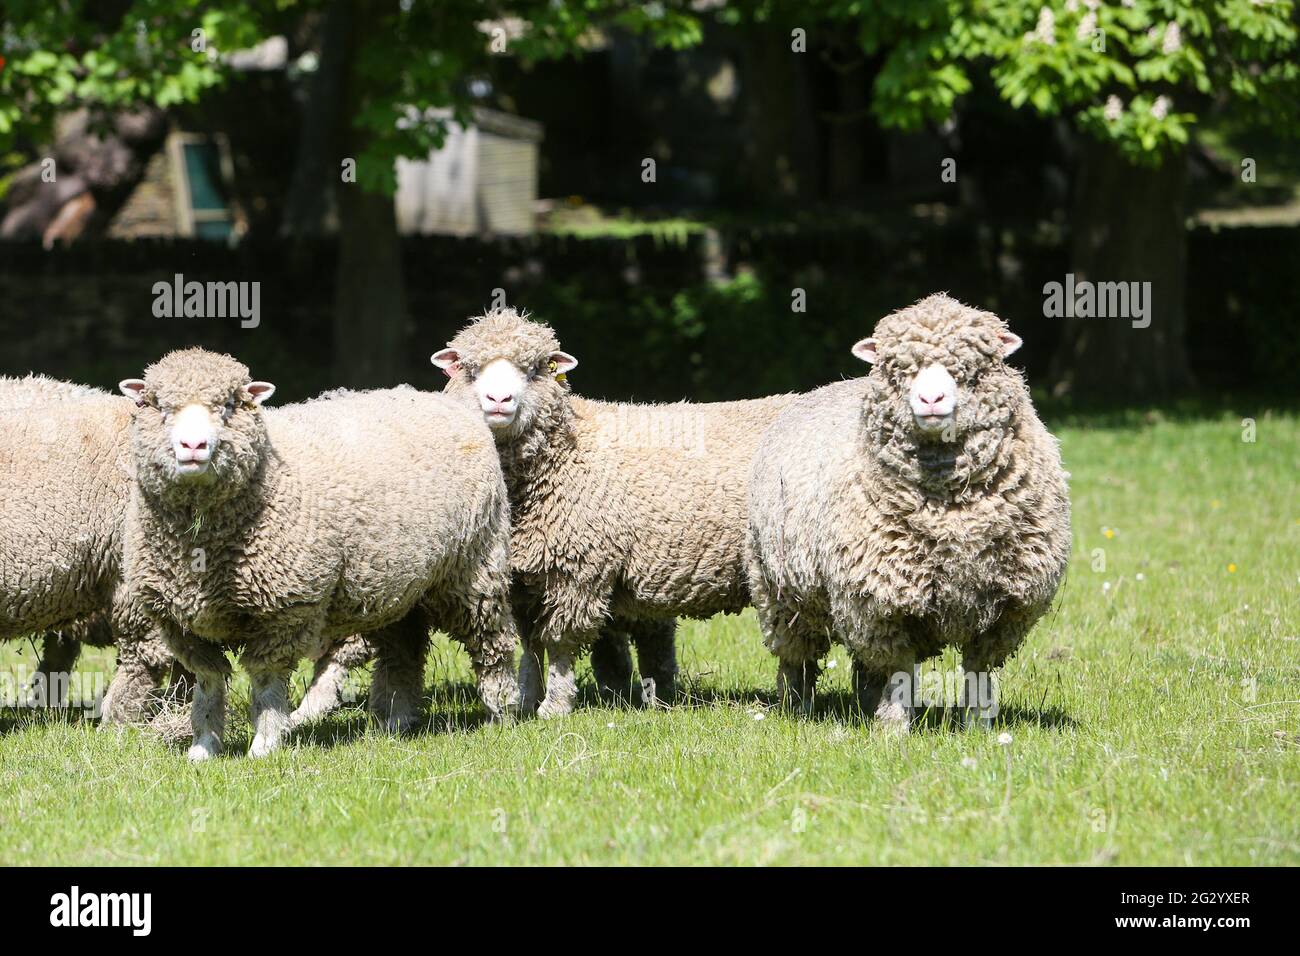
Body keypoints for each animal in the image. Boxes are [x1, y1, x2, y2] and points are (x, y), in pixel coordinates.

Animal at [117, 349, 518, 760]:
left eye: (229, 405)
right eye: (157, 406)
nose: (193, 446)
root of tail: (443, 402)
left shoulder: (286, 609)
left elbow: (265, 680)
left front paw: (264, 745)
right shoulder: (178, 623)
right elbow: (209, 681)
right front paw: (203, 747)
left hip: (474, 567)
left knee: (491, 641)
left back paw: (501, 711)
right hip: (396, 585)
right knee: (404, 646)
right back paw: (396, 719)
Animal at [430, 308, 796, 717]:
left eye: (536, 370)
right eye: (470, 370)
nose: (498, 398)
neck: (566, 454)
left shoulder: (578, 571)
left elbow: (559, 644)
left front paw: (554, 706)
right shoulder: (523, 577)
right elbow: (531, 645)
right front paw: (526, 699)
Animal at [745, 293, 1071, 730]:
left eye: (969, 368)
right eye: (901, 370)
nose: (931, 400)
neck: (950, 510)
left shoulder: (1008, 610)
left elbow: (979, 672)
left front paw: (978, 727)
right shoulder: (881, 603)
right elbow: (898, 669)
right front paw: (894, 729)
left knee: (864, 668)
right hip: (780, 592)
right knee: (798, 658)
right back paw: (797, 707)